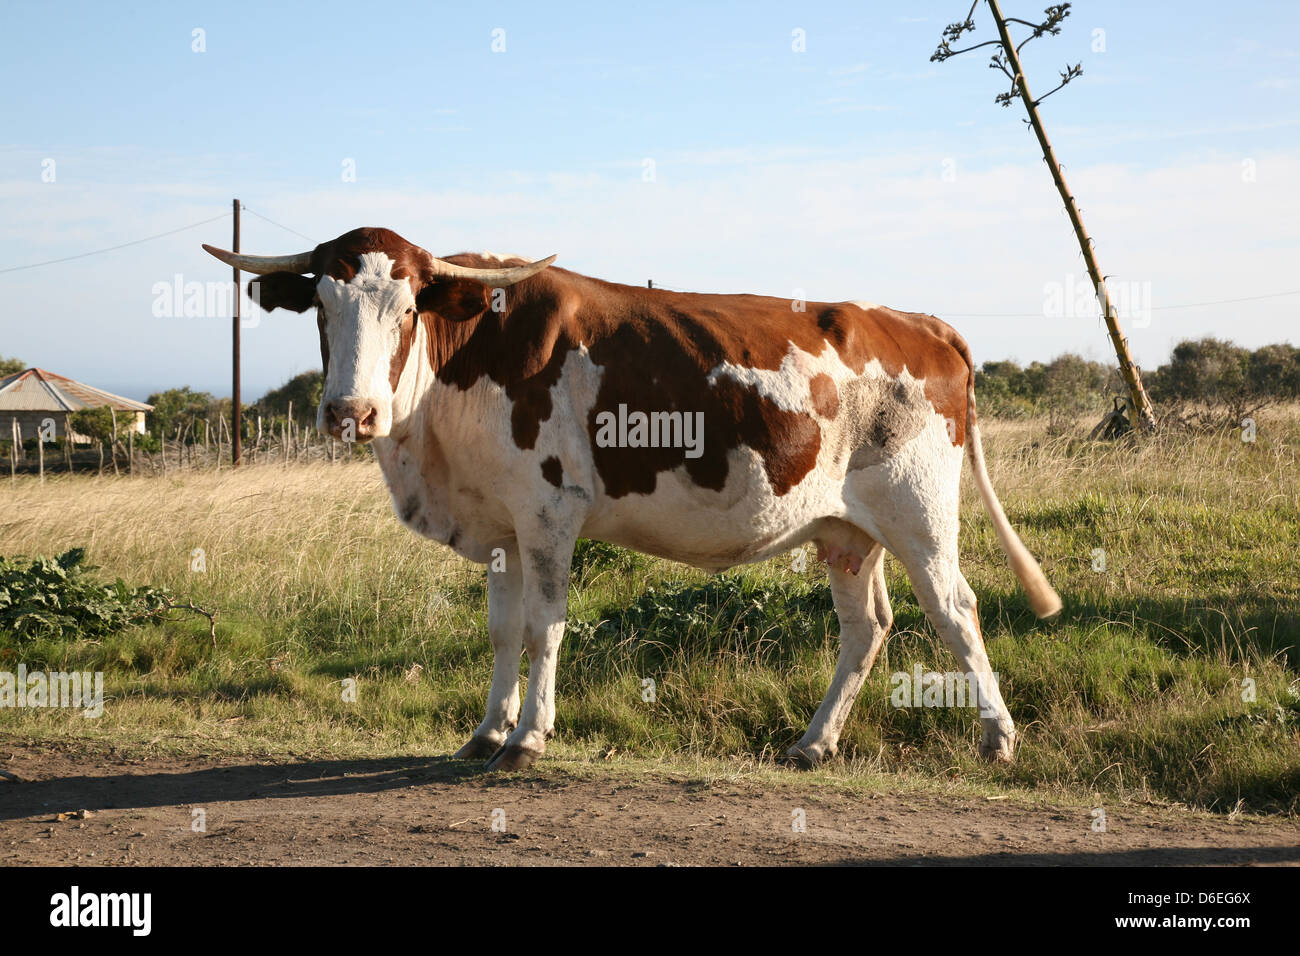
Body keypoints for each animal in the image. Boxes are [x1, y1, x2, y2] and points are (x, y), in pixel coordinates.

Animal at [203, 227, 1061, 772]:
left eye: (409, 307)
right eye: (322, 307)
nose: (351, 412)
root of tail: (914, 320)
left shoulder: (549, 513)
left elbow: (544, 629)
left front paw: (528, 739)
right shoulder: (501, 526)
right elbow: (502, 632)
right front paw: (485, 732)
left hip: (918, 511)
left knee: (955, 610)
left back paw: (997, 740)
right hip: (845, 530)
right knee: (867, 627)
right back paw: (814, 744)